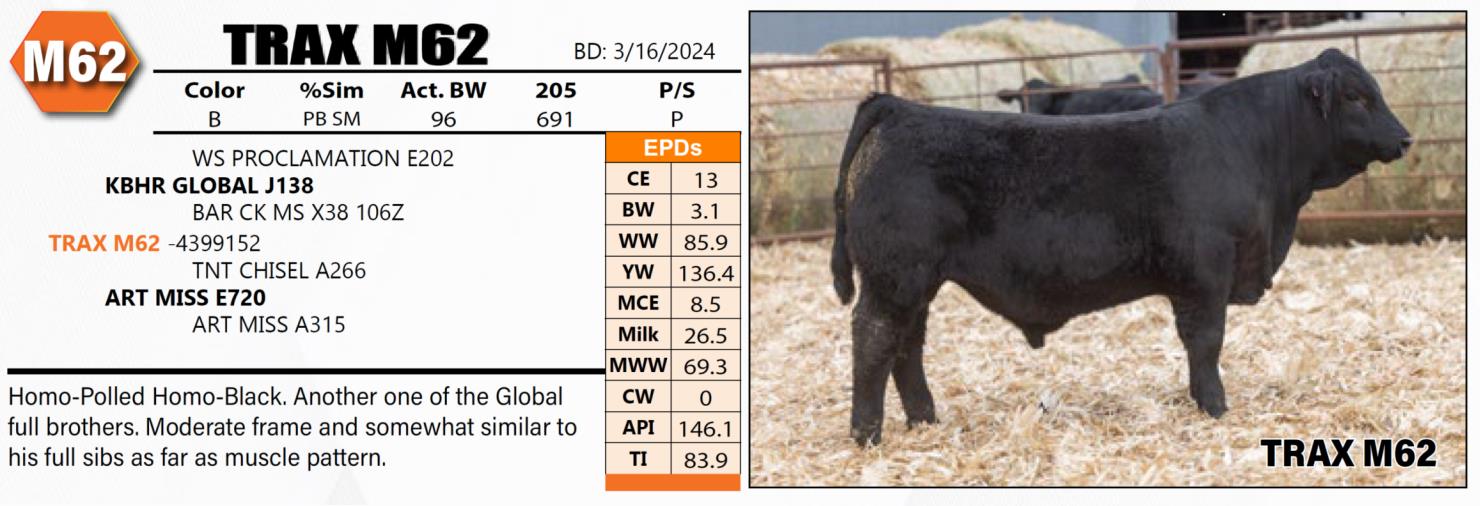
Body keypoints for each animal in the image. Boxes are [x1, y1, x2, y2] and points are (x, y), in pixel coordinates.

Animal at [831, 48, 1411, 447]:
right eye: (1356, 97)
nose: (1405, 138)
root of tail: (898, 108)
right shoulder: (1206, 274)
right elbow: (1206, 342)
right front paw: (1214, 406)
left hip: (916, 282)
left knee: (908, 346)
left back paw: (924, 419)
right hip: (894, 277)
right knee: (875, 339)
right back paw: (867, 433)